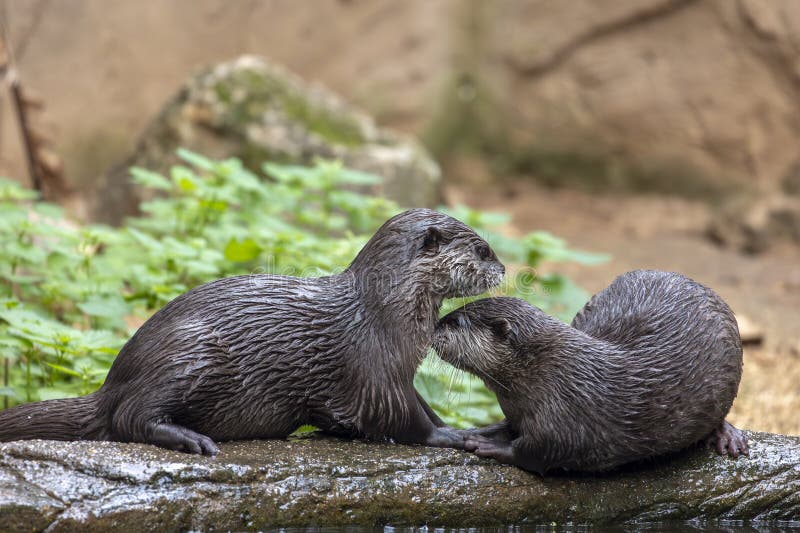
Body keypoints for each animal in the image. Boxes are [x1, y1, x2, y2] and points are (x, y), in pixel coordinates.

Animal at [0, 208, 505, 455]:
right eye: (483, 249)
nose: (502, 269)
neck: (385, 312)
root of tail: (111, 382)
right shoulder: (374, 369)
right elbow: (403, 417)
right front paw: (447, 439)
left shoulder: (400, 371)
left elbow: (422, 405)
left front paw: (464, 428)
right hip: (190, 353)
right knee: (128, 418)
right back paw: (190, 439)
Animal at [434, 270, 748, 474]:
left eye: (457, 321)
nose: (434, 325)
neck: (547, 372)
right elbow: (506, 427)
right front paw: (472, 432)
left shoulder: (566, 415)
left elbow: (538, 451)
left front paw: (486, 445)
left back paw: (728, 437)